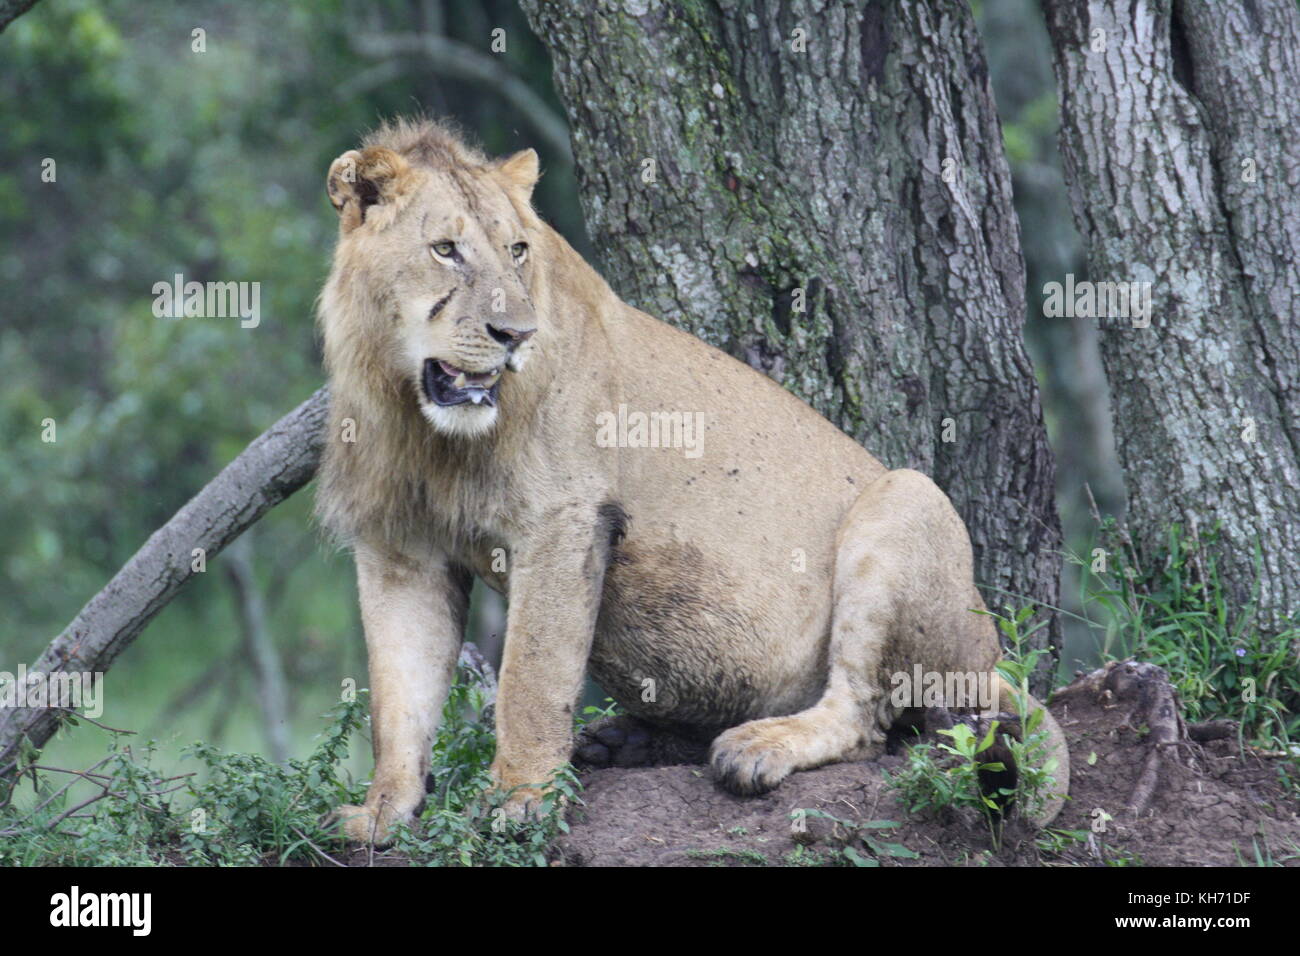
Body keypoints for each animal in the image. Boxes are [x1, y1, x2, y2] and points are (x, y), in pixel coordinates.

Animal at [315, 118, 1069, 843]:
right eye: (445, 249)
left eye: (518, 251)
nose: (517, 335)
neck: (422, 421)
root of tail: (993, 656)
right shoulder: (397, 548)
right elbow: (397, 699)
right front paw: (380, 814)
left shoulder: (563, 518)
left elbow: (531, 676)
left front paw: (519, 799)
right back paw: (618, 741)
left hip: (910, 499)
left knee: (869, 721)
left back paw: (754, 748)